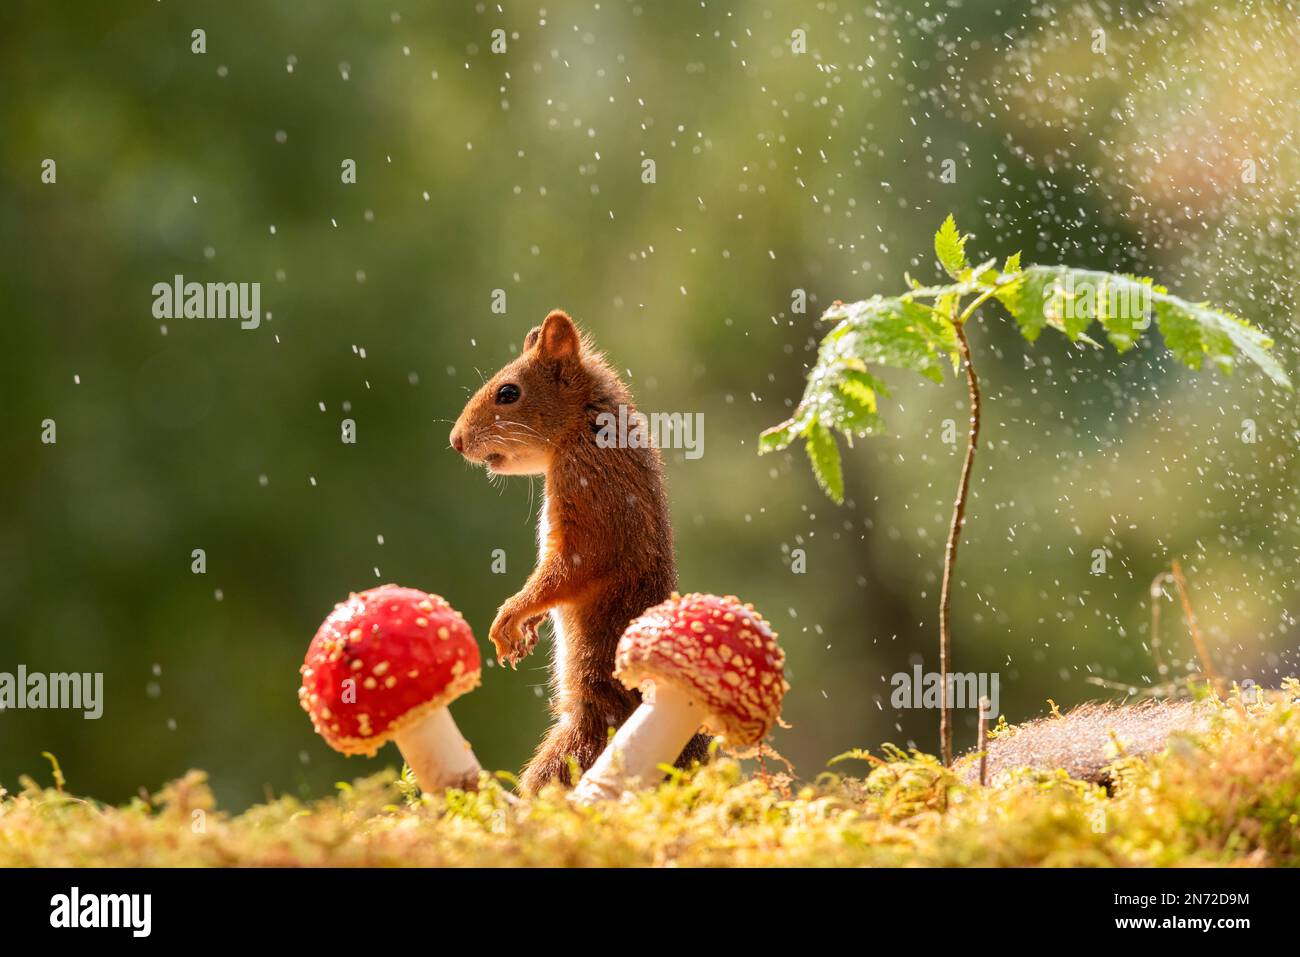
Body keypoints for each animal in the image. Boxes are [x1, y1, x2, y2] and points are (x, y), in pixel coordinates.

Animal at [449, 309, 711, 793]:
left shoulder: (591, 497)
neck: (582, 428)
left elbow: (570, 569)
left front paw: (511, 615)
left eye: (508, 392)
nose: (456, 441)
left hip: (584, 734)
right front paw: (525, 627)